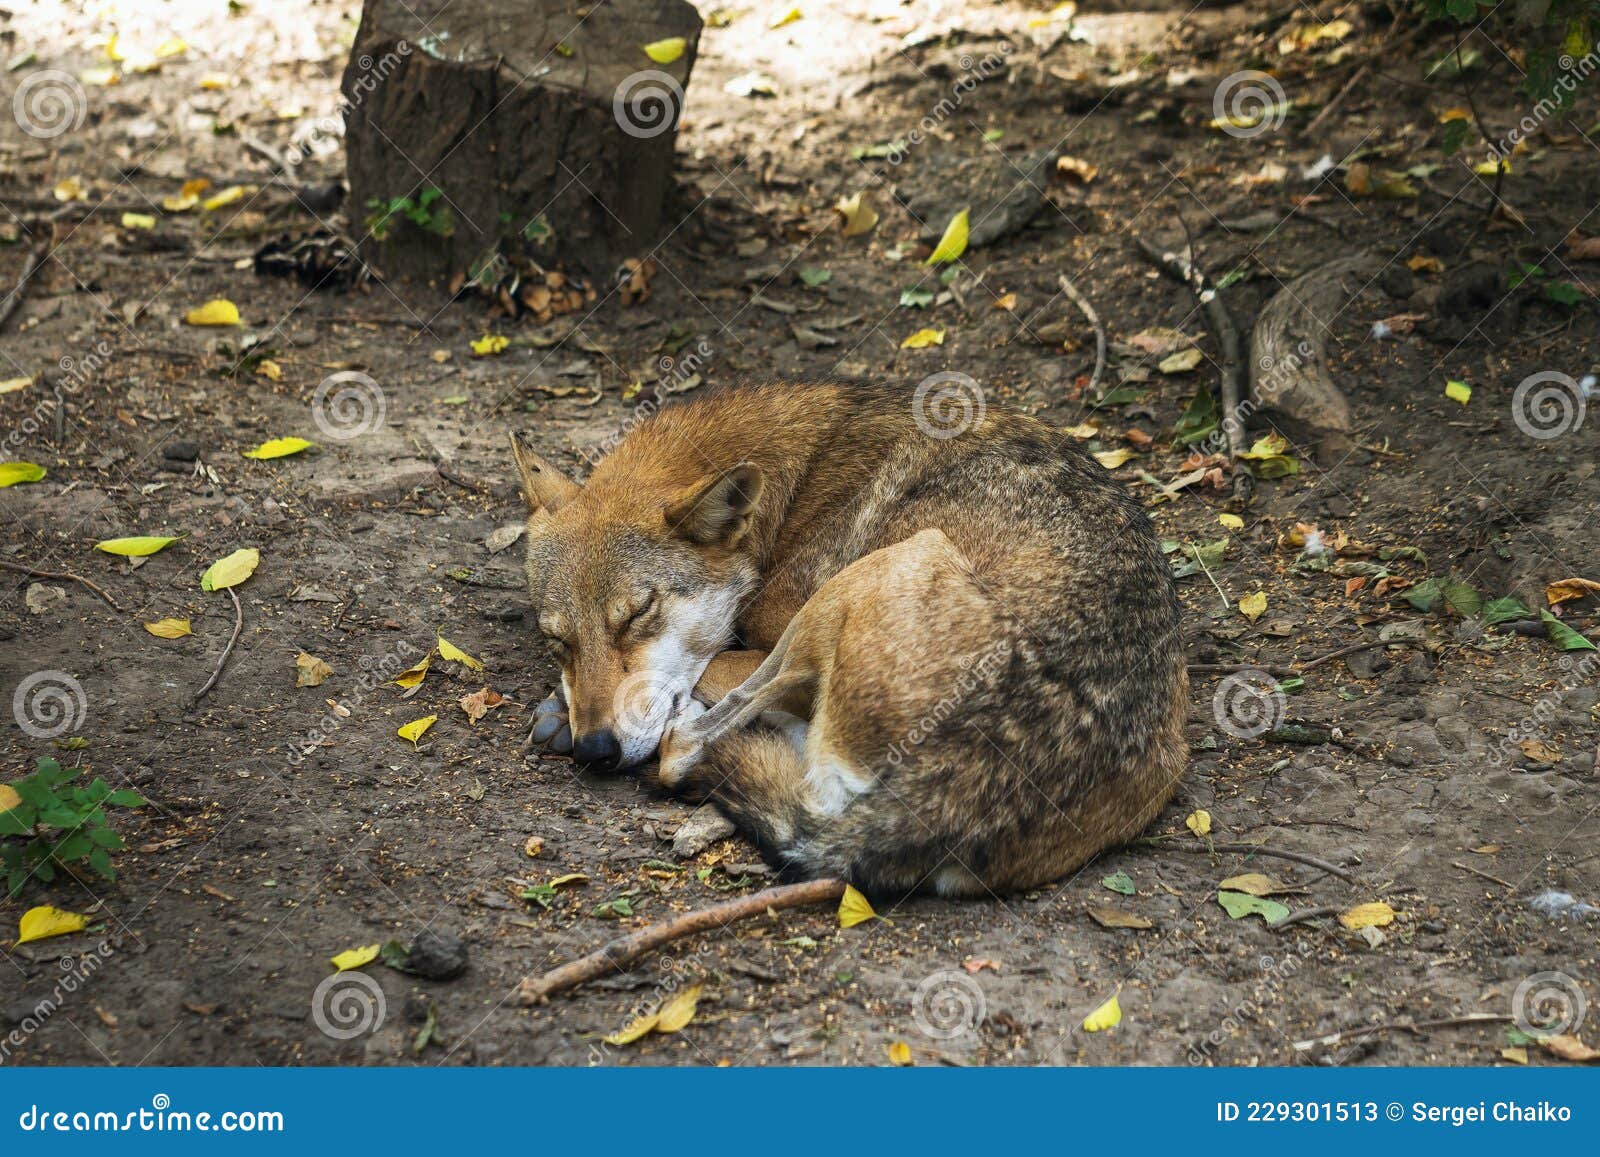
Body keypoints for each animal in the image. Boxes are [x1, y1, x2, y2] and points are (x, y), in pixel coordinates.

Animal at [512, 380, 1188, 897]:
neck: (798, 484)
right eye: (557, 640)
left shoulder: (765, 637)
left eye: (639, 615)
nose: (594, 750)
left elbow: (699, 676)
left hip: (867, 576)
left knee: (687, 749)